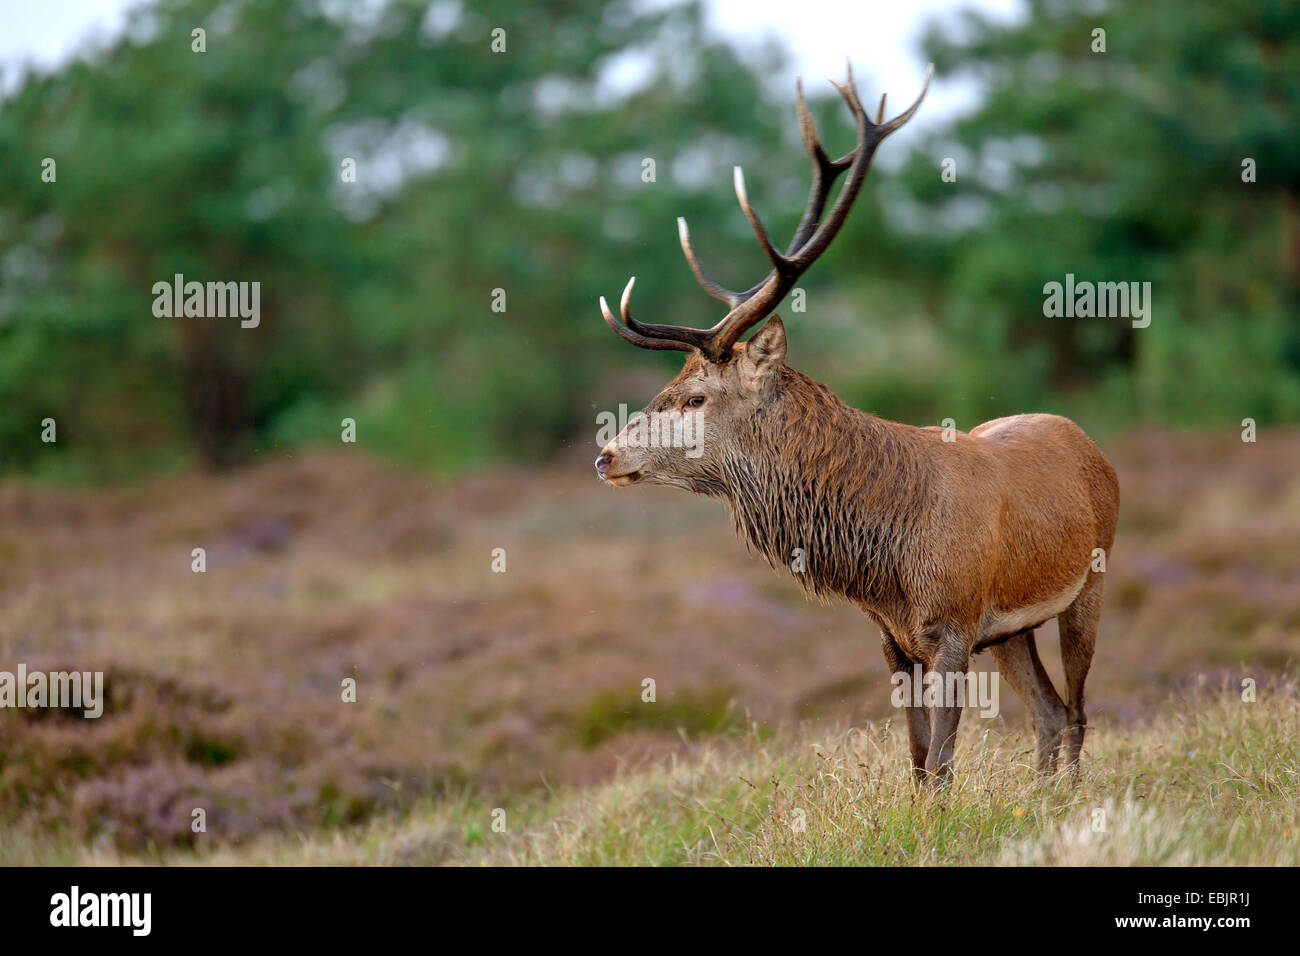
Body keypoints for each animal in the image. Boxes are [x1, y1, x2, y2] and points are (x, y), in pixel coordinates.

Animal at [592, 63, 1120, 785]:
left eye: (696, 398)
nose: (606, 456)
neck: (883, 560)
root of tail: (1089, 442)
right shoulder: (892, 638)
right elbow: (919, 760)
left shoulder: (953, 625)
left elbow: (944, 763)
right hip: (1012, 630)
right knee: (1048, 709)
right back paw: (1043, 797)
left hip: (1090, 582)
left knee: (1078, 709)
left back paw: (1066, 795)